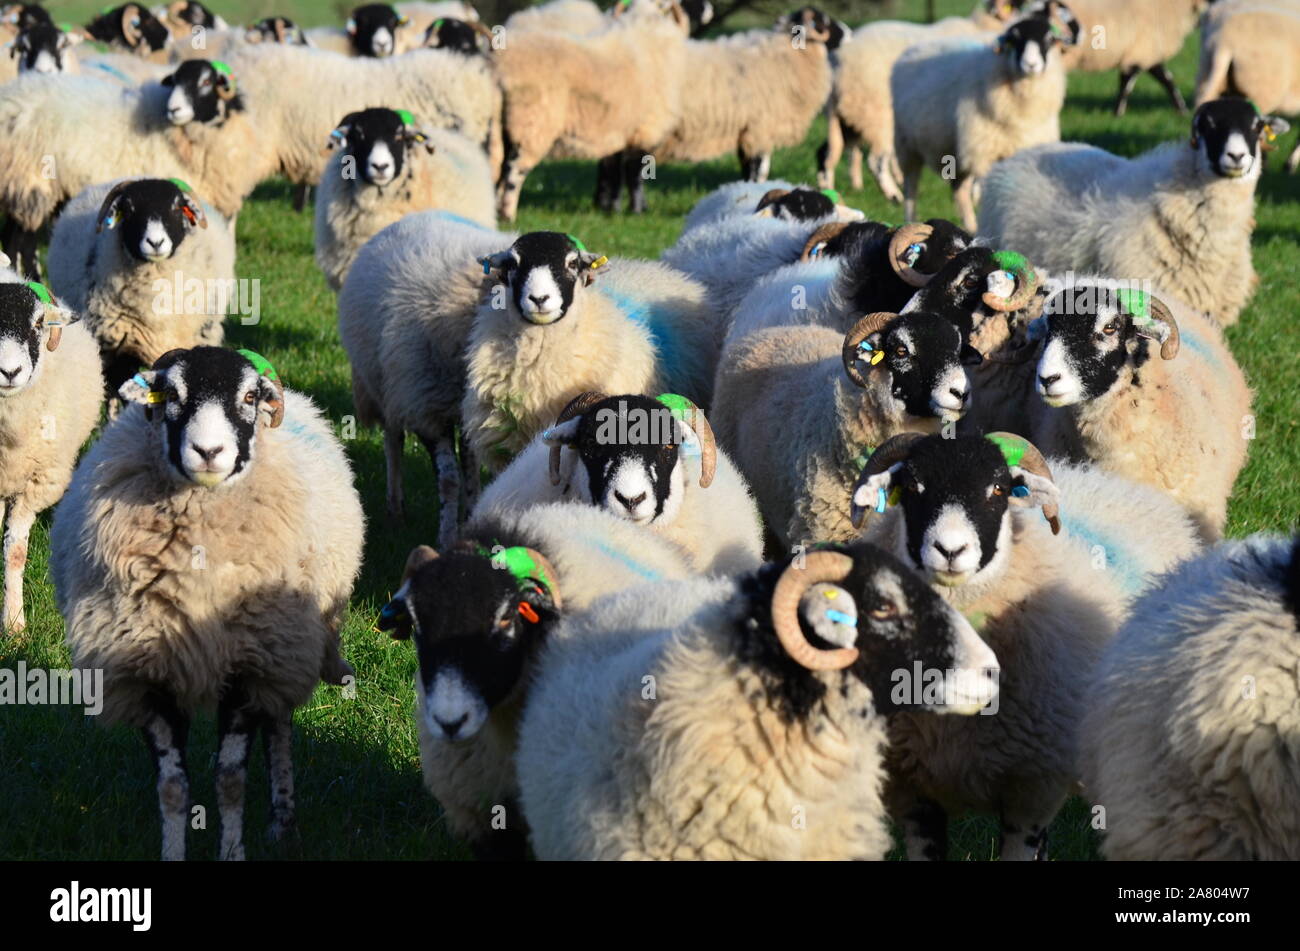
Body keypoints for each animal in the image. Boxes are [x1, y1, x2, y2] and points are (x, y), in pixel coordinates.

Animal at [0, 58, 272, 277]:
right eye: (175, 82)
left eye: (206, 81)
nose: (174, 109)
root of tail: (10, 100)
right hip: (30, 183)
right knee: (22, 241)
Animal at [51, 346, 365, 861]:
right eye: (170, 393)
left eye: (251, 396)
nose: (209, 452)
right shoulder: (148, 674)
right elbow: (173, 787)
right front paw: (173, 852)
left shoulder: (248, 667)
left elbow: (231, 780)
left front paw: (233, 852)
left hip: (287, 647)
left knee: (279, 726)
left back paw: (284, 822)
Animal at [337, 210, 514, 545]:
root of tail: (416, 215)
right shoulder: (424, 408)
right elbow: (448, 480)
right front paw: (445, 538)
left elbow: (466, 467)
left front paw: (467, 521)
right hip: (386, 386)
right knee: (393, 440)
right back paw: (395, 508)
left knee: (469, 458)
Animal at [492, 0, 691, 220]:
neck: (647, 29)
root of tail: (502, 66)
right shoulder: (644, 129)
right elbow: (634, 173)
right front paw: (636, 211)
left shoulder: (618, 132)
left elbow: (614, 173)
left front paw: (612, 210)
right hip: (533, 123)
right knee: (514, 170)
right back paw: (507, 214)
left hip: (499, 124)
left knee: (498, 167)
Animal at [892, 12, 1068, 231]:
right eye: (1014, 39)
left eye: (1048, 39)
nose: (1031, 65)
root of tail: (916, 47)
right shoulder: (984, 153)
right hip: (907, 144)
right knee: (911, 186)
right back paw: (910, 219)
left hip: (955, 153)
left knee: (959, 190)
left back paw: (971, 227)